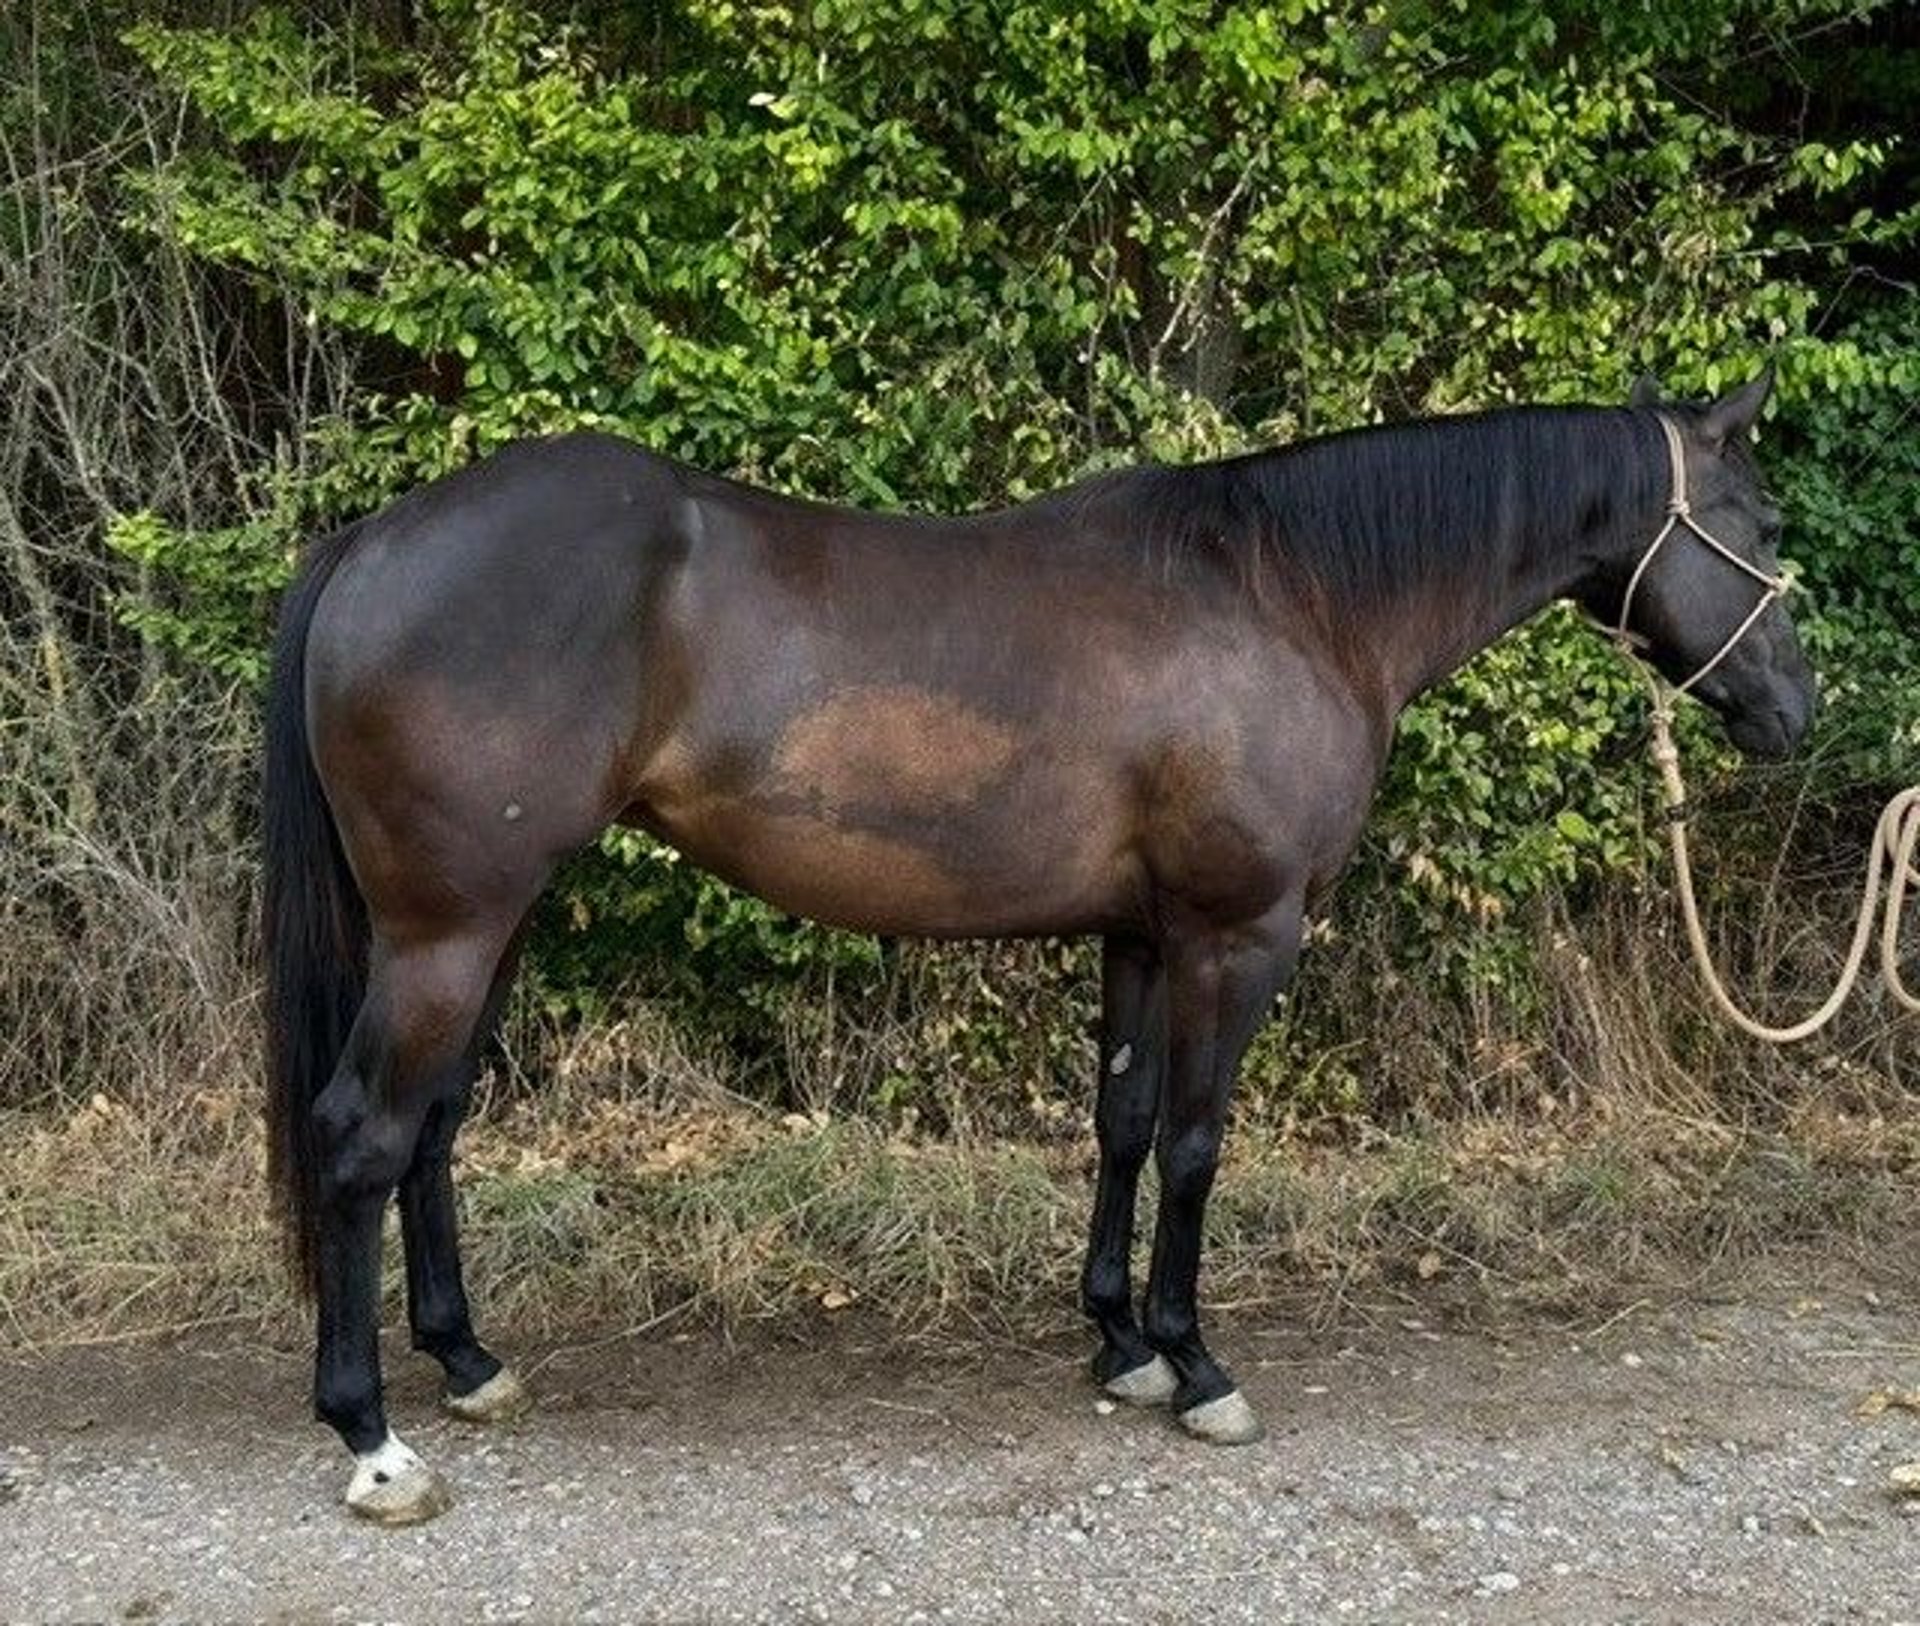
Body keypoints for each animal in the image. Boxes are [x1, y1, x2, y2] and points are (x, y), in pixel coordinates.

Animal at [262, 366, 1812, 1523]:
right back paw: (374, 1440)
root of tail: (371, 543)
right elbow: (1194, 1142)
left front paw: (1120, 1344)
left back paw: (468, 1361)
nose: (1799, 710)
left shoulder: (1141, 934)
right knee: (360, 1133)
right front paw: (1199, 1366)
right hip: (449, 930)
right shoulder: (1239, 936)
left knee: (433, 1127)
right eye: (1753, 517)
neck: (1291, 598)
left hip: (484, 925)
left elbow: (1121, 1125)